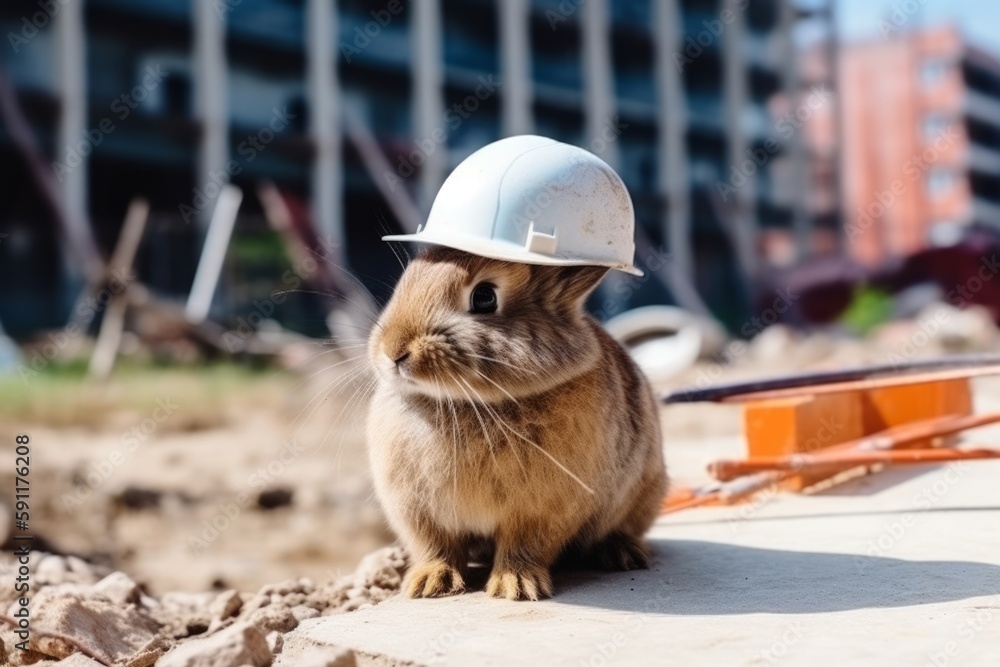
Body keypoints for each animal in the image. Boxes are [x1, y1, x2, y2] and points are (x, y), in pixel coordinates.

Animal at [366, 245, 667, 601]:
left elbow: (524, 544)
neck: (468, 402)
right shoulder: (418, 510)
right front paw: (428, 584)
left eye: (484, 297)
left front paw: (517, 586)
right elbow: (436, 546)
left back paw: (623, 554)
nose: (393, 350)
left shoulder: (541, 510)